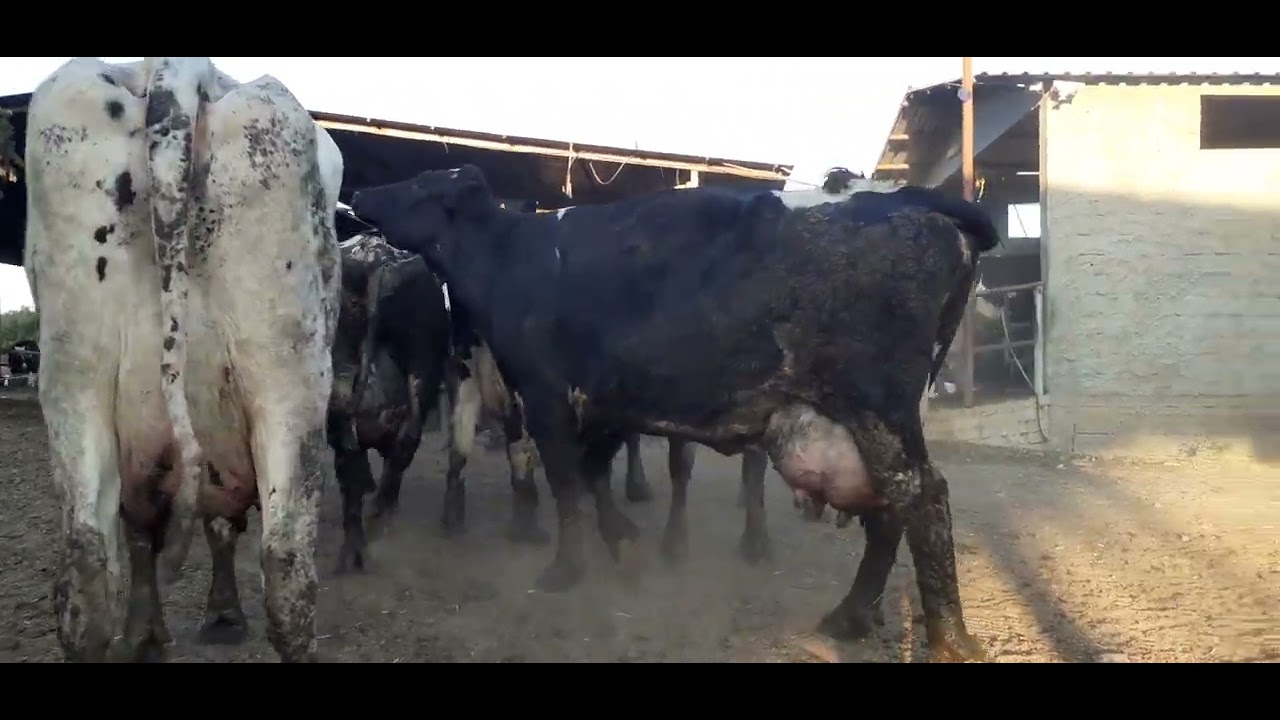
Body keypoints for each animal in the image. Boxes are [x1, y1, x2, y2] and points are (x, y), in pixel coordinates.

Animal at [24, 57, 342, 663]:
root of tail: (180, 71)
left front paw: (152, 632)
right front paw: (213, 617)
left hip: (73, 377)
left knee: (85, 562)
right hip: (290, 378)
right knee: (286, 562)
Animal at [349, 163, 1004, 663]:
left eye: (419, 184)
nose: (360, 194)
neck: (517, 257)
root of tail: (911, 198)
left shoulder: (545, 393)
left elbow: (566, 482)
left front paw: (566, 568)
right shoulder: (603, 403)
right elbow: (590, 474)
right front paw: (622, 543)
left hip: (877, 408)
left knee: (923, 498)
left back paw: (951, 641)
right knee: (891, 509)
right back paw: (849, 617)